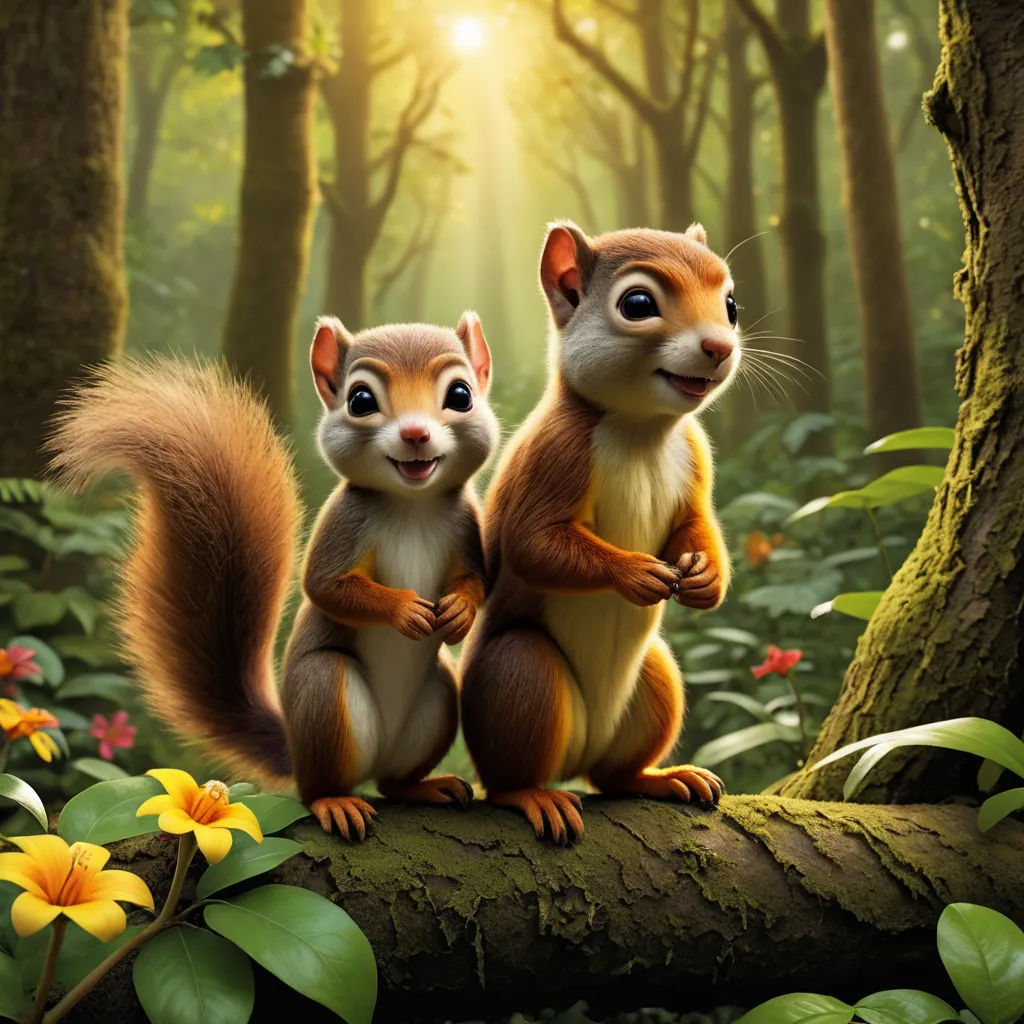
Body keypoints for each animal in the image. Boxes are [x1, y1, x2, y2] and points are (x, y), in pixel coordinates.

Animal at [49, 313, 499, 839]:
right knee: (318, 786)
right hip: (324, 697)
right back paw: (335, 802)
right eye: (360, 400)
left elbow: (478, 582)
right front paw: (404, 608)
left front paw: (459, 611)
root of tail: (299, 752)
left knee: (393, 783)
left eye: (461, 395)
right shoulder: (344, 526)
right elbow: (325, 588)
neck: (414, 503)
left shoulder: (467, 526)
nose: (415, 435)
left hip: (438, 699)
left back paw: (425, 787)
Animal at [460, 221, 738, 843]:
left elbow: (698, 523)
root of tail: (577, 759)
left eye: (731, 305)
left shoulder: (698, 457)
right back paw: (533, 796)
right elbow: (533, 544)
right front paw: (634, 572)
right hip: (521, 681)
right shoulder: (553, 457)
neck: (642, 429)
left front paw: (705, 577)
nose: (721, 347)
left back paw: (663, 778)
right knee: (507, 779)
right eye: (637, 304)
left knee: (615, 776)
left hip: (655, 685)